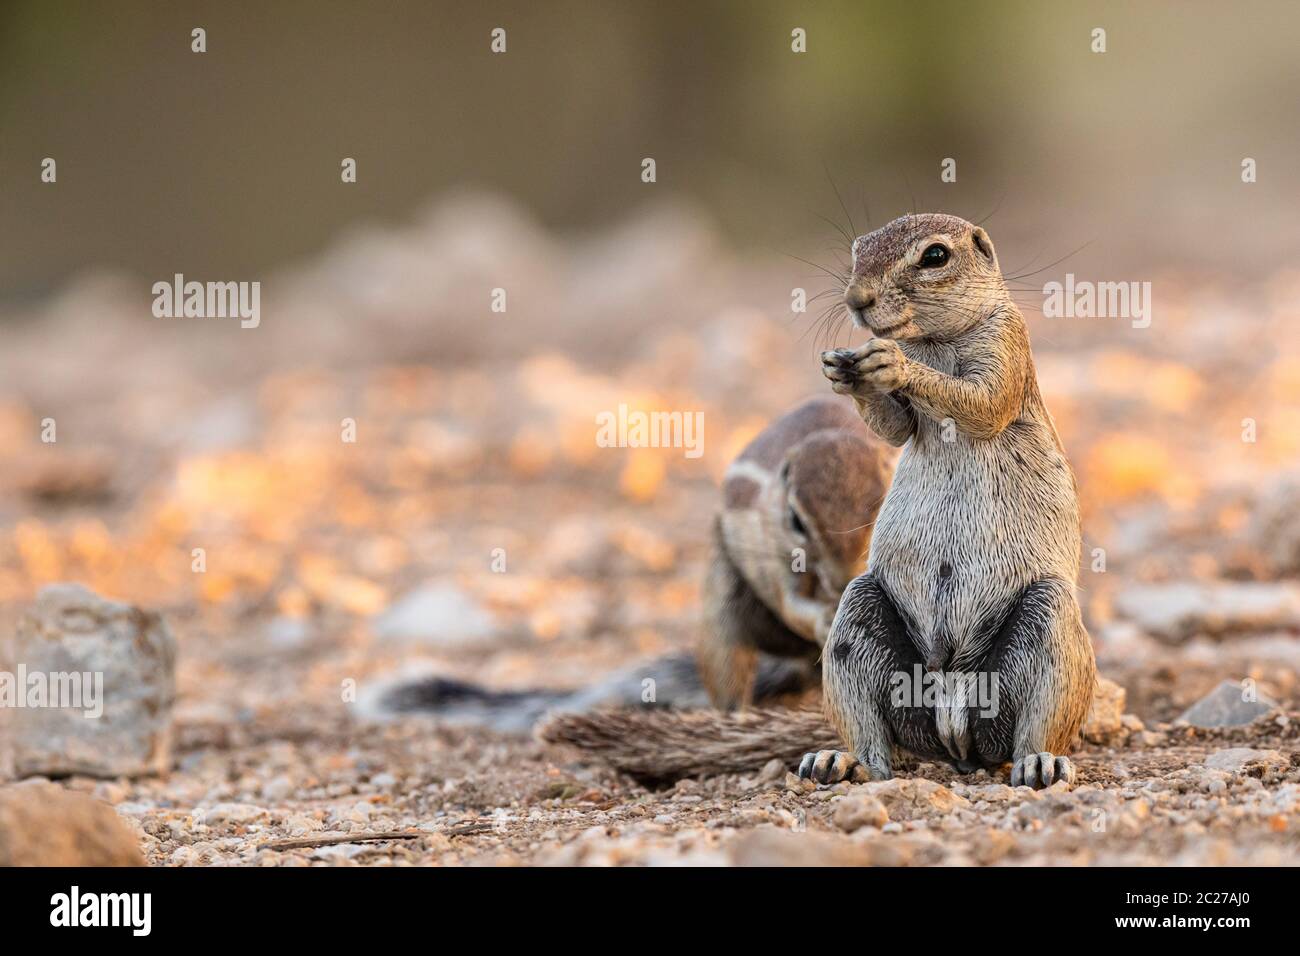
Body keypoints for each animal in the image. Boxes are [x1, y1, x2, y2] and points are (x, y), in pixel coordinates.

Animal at [372, 397, 894, 730]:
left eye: (881, 507)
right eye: (796, 520)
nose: (842, 578)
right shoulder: (773, 556)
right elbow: (790, 602)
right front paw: (823, 617)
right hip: (722, 610)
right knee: (730, 673)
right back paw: (739, 717)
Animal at [543, 214, 1097, 790]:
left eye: (935, 256)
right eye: (857, 249)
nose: (856, 299)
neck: (934, 340)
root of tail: (953, 719)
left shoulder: (1007, 345)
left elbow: (983, 402)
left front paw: (892, 364)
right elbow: (895, 429)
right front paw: (845, 373)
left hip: (1046, 623)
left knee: (1035, 726)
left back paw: (1039, 762)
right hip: (859, 613)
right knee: (877, 742)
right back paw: (842, 761)